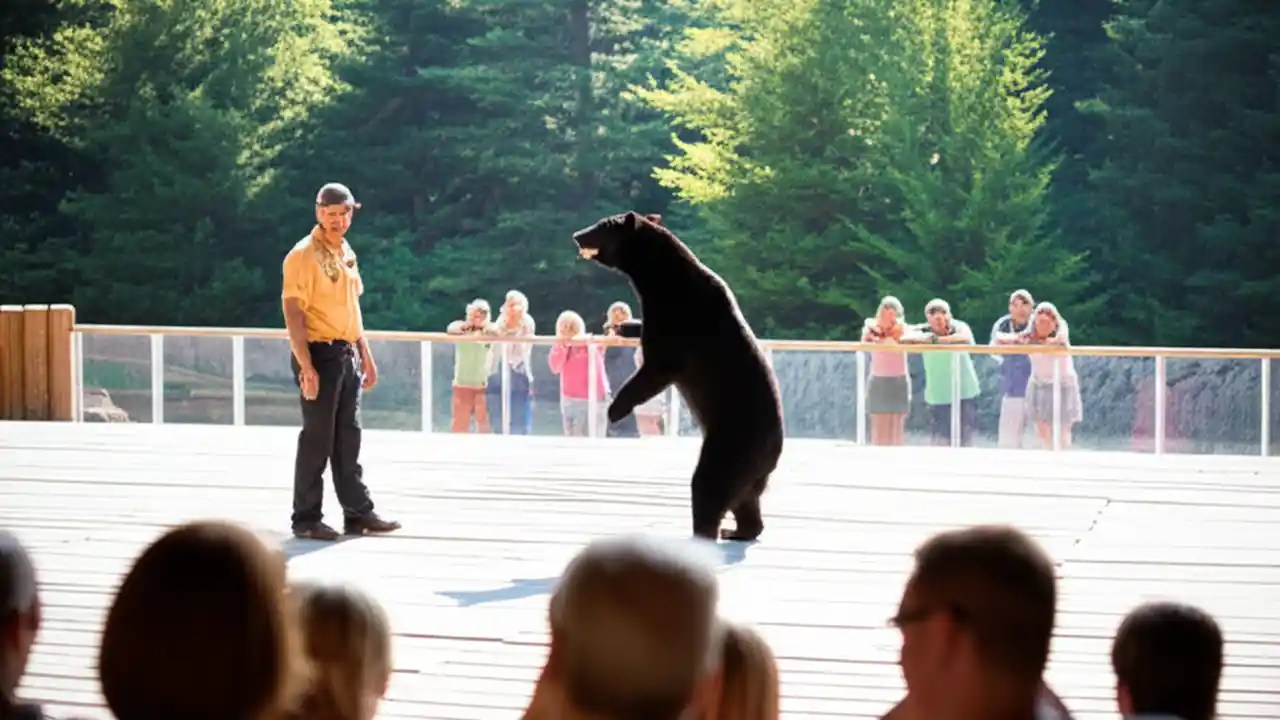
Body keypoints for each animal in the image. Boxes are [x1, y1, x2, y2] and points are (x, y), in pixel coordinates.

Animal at [572, 211, 784, 542]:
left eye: (602, 225)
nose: (577, 235)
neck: (660, 279)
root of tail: (775, 451)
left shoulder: (681, 322)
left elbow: (658, 367)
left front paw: (616, 409)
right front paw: (624, 326)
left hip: (734, 443)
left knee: (710, 485)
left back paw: (706, 532)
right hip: (748, 464)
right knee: (746, 499)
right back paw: (738, 530)